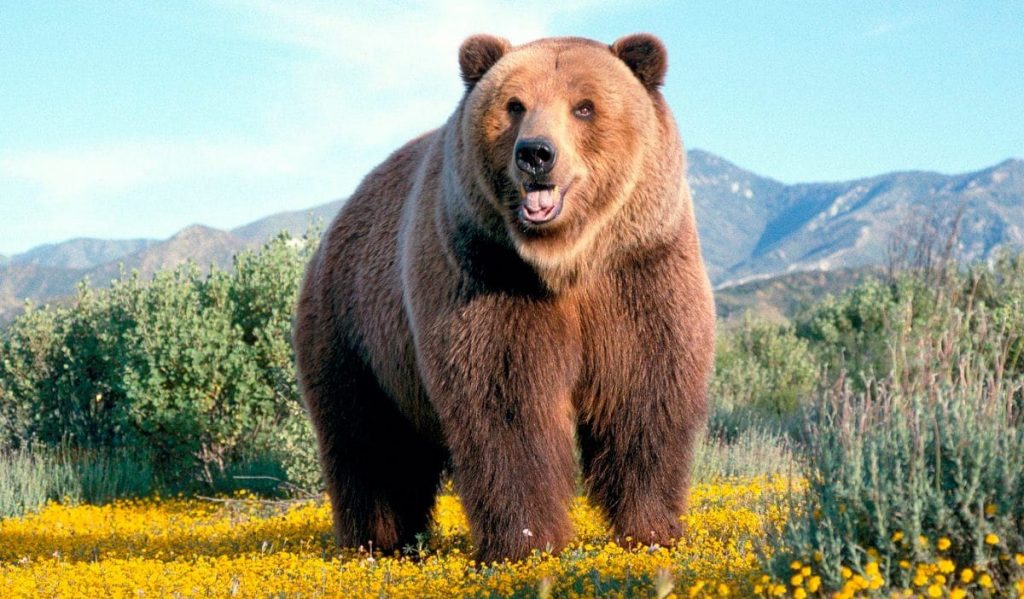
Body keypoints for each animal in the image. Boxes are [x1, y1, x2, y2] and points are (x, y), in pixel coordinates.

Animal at [293, 33, 715, 562]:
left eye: (584, 106)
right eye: (515, 105)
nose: (536, 153)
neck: (565, 261)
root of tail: (336, 223)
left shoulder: (639, 271)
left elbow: (645, 392)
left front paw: (653, 530)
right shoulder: (488, 276)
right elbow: (506, 405)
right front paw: (527, 541)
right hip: (355, 332)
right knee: (368, 443)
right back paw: (377, 541)